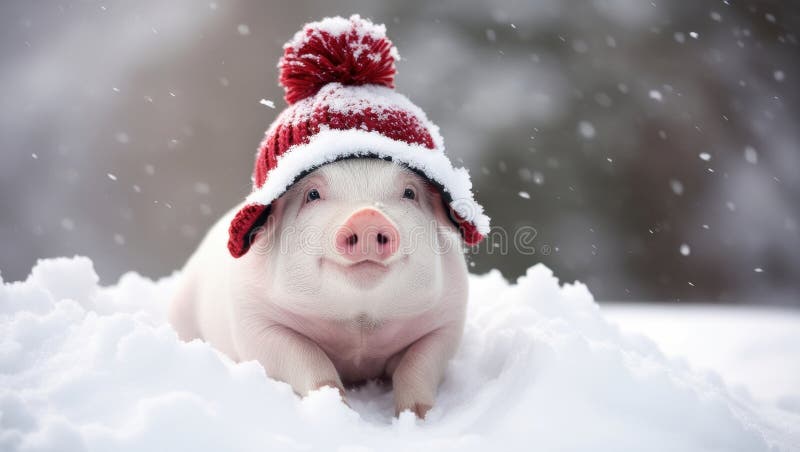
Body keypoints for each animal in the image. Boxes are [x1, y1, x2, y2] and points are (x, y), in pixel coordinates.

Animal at [169, 158, 469, 419]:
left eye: (409, 192)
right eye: (312, 194)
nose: (367, 215)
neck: (360, 329)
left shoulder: (448, 319)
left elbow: (417, 366)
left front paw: (418, 416)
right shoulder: (254, 320)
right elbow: (309, 359)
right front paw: (340, 410)